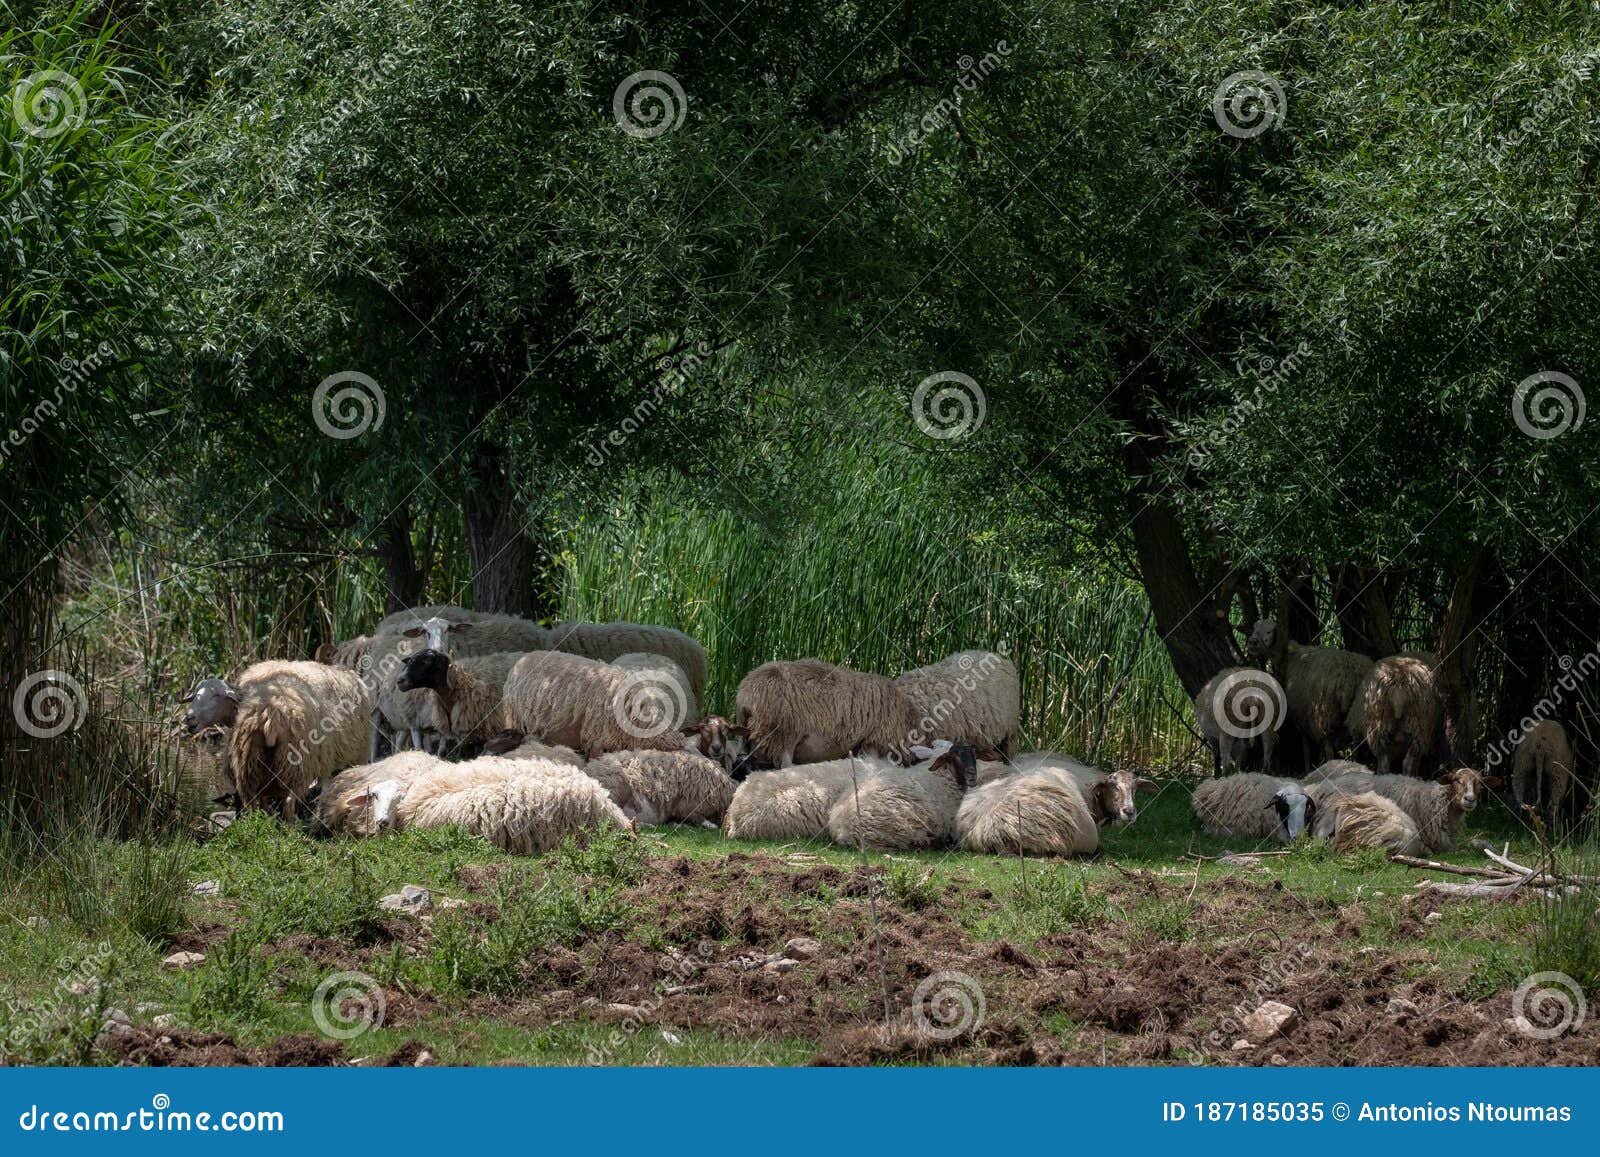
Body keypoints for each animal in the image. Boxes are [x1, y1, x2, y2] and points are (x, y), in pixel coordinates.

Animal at [181, 661, 372, 820]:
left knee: (286, 800)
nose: (189, 717)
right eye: (195, 695)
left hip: (325, 759)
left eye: (216, 696)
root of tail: (270, 715)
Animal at [735, 658, 921, 767]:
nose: (913, 760)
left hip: (750, 736)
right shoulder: (876, 739)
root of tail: (745, 694)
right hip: (782, 733)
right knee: (784, 764)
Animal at [1247, 619, 1374, 772]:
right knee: (1355, 747)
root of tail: (1350, 678)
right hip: (1357, 715)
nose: (1252, 642)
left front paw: (1307, 769)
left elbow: (1306, 747)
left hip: (1324, 715)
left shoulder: (1301, 716)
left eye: (1269, 631)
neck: (1287, 658)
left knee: (1329, 748)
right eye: (1254, 628)